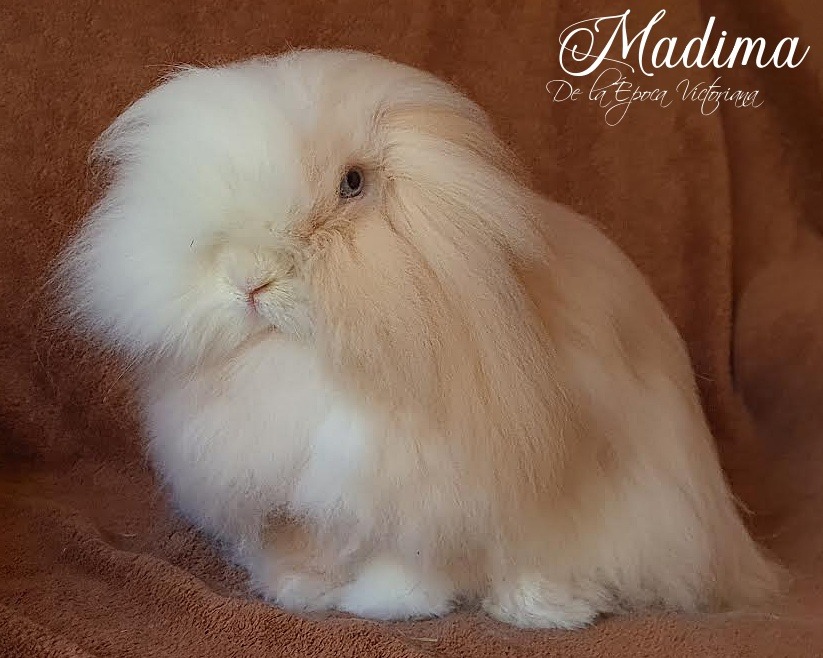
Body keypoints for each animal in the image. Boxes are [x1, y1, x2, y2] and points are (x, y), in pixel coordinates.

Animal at [55, 48, 781, 629]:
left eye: (352, 184)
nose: (249, 281)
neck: (309, 367)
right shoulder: (298, 496)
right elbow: (320, 545)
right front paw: (300, 592)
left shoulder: (422, 489)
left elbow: (408, 558)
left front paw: (389, 605)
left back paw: (544, 608)